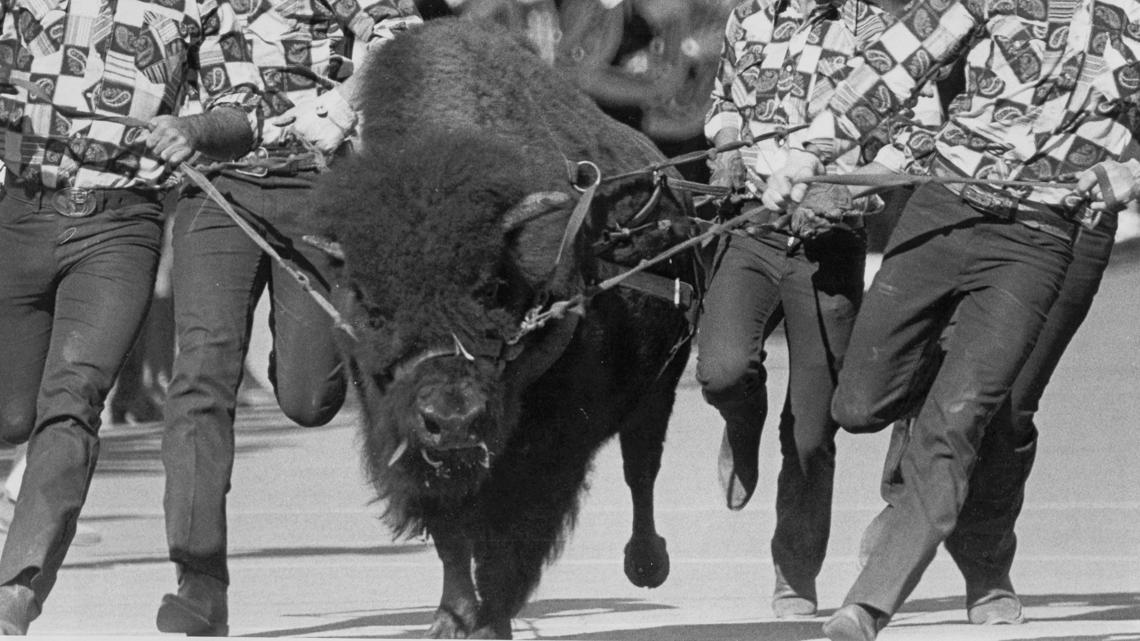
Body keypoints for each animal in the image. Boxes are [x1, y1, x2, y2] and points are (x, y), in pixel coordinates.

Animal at [308, 17, 699, 638]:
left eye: (493, 288)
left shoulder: (548, 447)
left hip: (658, 390)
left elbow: (509, 539)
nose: (452, 418)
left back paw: (646, 563)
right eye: (372, 306)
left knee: (642, 469)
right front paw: (452, 618)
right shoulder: (407, 432)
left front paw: (490, 620)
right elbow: (452, 531)